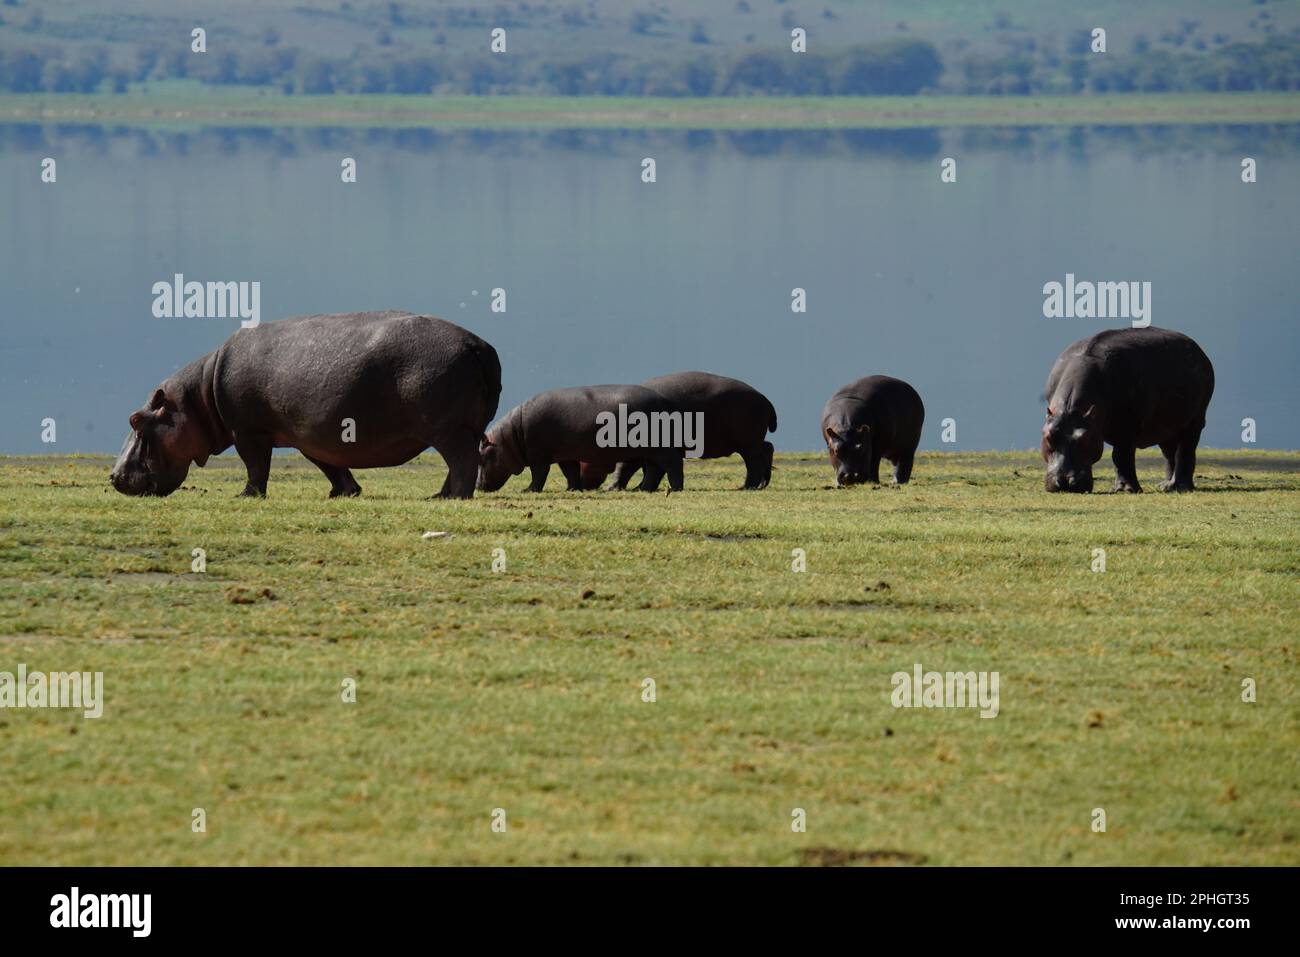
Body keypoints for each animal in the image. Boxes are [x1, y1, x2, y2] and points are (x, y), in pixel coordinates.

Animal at [110, 311, 501, 499]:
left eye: (136, 420)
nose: (113, 476)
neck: (197, 398)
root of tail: (478, 345)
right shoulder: (311, 435)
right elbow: (329, 465)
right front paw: (344, 493)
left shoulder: (247, 431)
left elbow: (255, 466)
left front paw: (245, 496)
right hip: (462, 428)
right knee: (458, 463)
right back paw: (437, 495)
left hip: (448, 430)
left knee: (462, 462)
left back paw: (451, 498)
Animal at [477, 385, 686, 493]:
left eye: (483, 457)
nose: (478, 487)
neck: (510, 437)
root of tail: (667, 402)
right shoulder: (563, 455)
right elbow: (571, 472)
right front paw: (572, 489)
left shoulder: (539, 457)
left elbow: (539, 475)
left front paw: (527, 491)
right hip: (650, 450)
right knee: (653, 469)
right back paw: (642, 490)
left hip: (660, 448)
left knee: (673, 465)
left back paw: (675, 489)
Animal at [602, 372, 778, 491]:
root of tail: (766, 399)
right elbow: (639, 469)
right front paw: (632, 489)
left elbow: (628, 467)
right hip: (751, 441)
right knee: (768, 448)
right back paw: (762, 484)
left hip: (748, 443)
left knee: (754, 462)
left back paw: (746, 487)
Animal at [1042, 327, 1214, 493]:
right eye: (1048, 436)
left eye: (1085, 438)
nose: (1065, 482)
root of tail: (1198, 350)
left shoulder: (1126, 427)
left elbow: (1121, 455)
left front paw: (1125, 490)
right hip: (1166, 426)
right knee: (1170, 452)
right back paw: (1165, 486)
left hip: (1195, 420)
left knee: (1186, 450)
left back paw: (1180, 487)